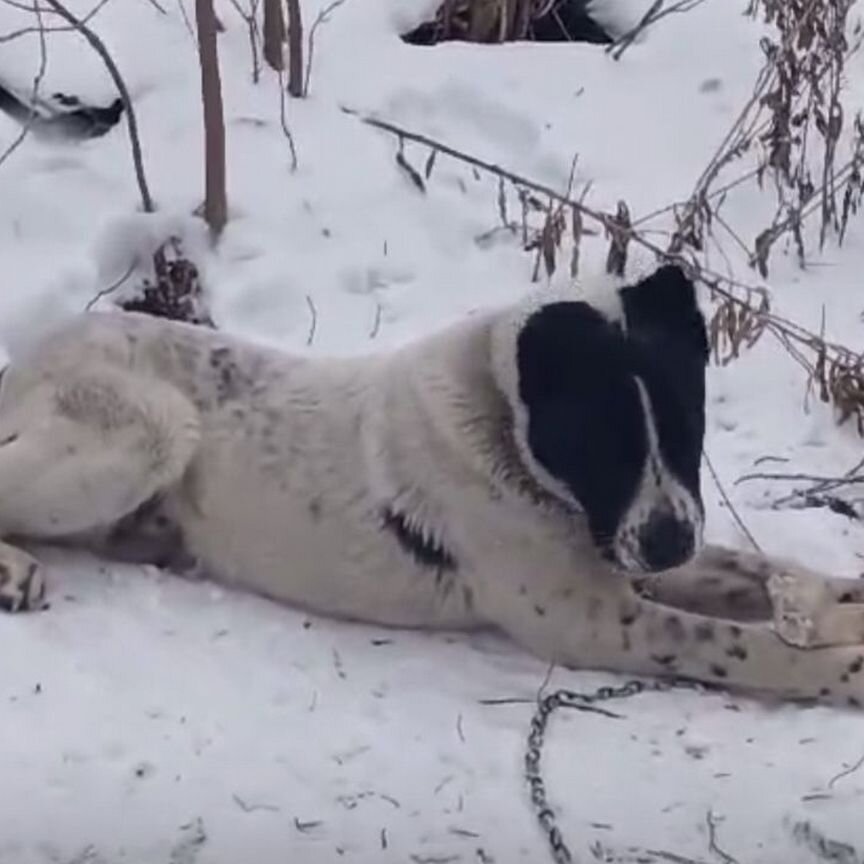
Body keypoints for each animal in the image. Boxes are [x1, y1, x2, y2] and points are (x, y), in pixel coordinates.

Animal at [1, 266, 864, 704]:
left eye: (688, 423)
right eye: (602, 440)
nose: (669, 541)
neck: (507, 427)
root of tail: (30, 356)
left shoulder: (636, 546)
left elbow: (765, 569)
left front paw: (830, 601)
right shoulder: (598, 620)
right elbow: (743, 648)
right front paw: (843, 672)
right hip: (150, 429)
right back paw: (14, 571)